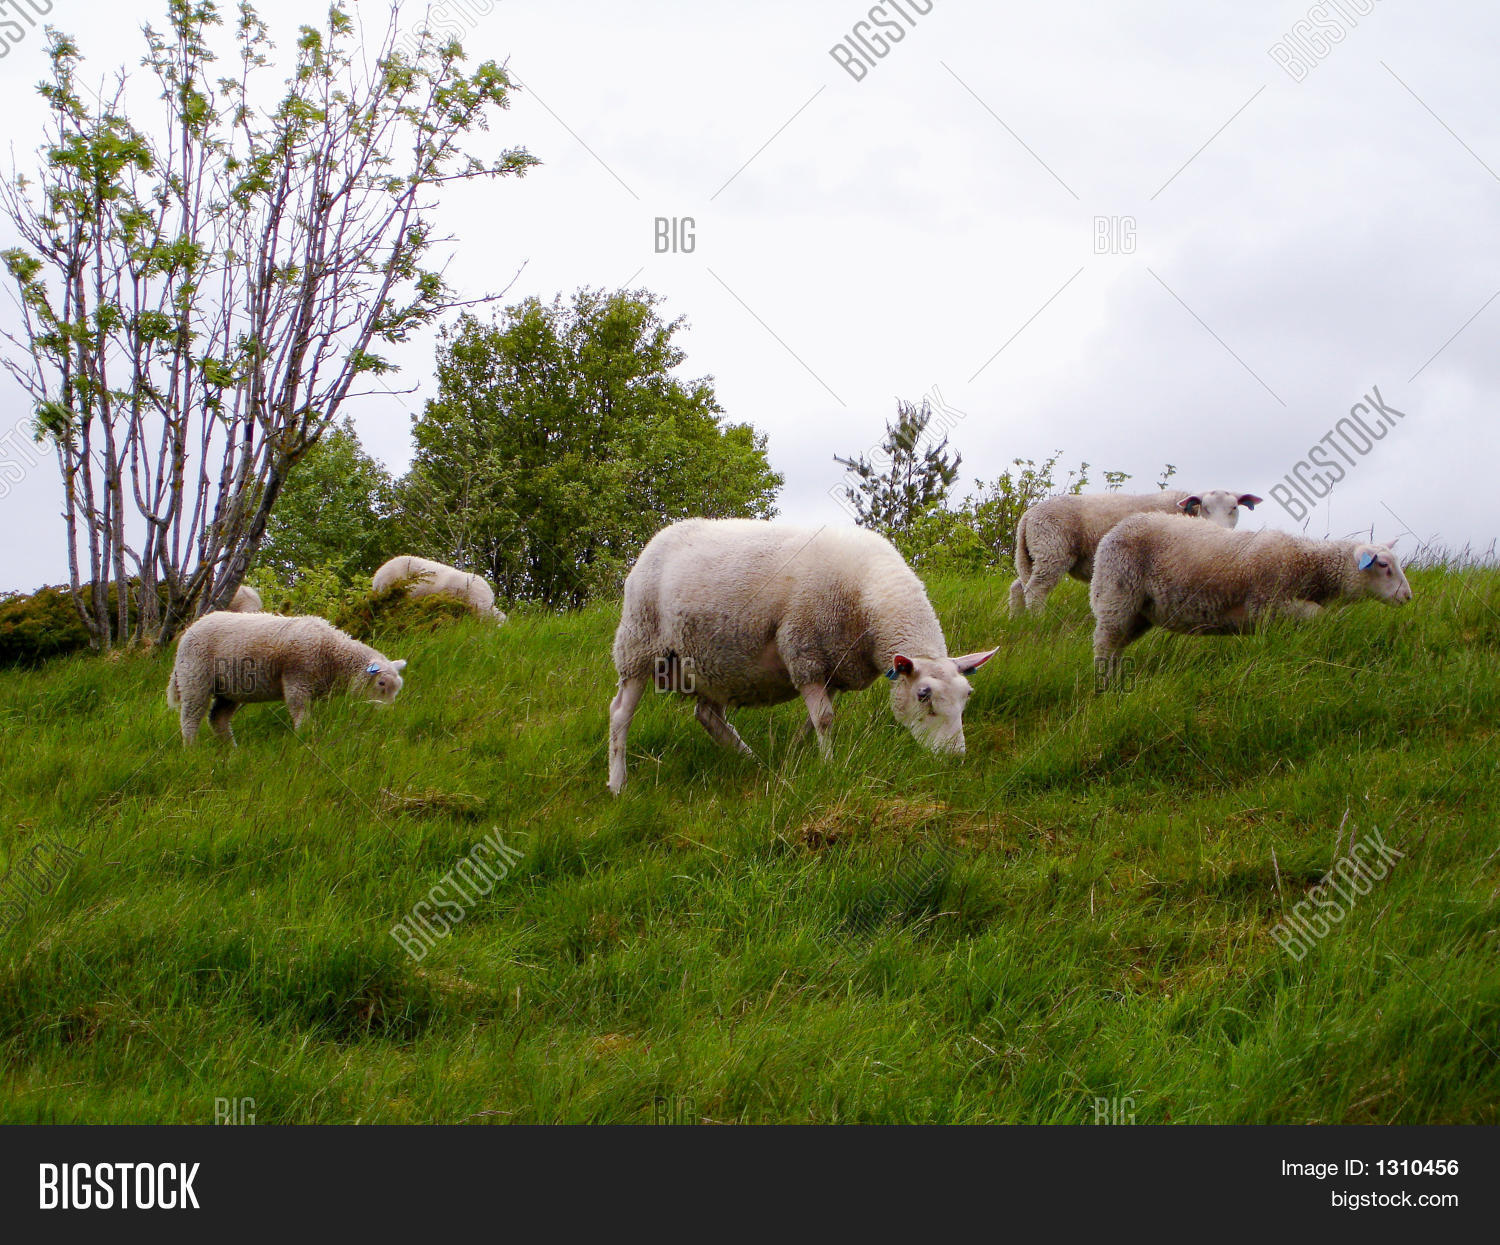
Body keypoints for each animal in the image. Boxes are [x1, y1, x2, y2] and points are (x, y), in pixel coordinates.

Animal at [167, 612, 406, 744]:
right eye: (381, 683)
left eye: (397, 689)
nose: (387, 713)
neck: (332, 654)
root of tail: (191, 627)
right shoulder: (297, 680)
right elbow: (301, 714)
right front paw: (303, 738)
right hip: (195, 677)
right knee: (190, 718)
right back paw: (191, 749)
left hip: (229, 690)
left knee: (218, 719)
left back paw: (231, 751)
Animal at [607, 518, 997, 794]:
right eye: (923, 695)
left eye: (967, 696)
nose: (954, 759)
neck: (868, 602)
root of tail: (658, 538)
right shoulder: (804, 652)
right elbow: (824, 719)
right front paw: (831, 768)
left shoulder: (834, 667)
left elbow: (815, 720)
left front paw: (796, 755)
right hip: (639, 643)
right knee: (620, 714)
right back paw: (617, 783)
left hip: (712, 665)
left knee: (707, 715)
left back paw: (753, 761)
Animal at [1009, 489, 1262, 615]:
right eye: (1206, 508)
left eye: (1234, 507)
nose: (1220, 532)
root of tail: (1027, 517)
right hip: (1052, 550)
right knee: (1036, 590)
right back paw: (1038, 621)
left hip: (1033, 555)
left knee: (1018, 587)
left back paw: (1018, 620)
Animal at [1089, 514, 1411, 670]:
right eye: (1383, 565)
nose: (1407, 596)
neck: (1308, 564)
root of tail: (1113, 532)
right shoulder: (1268, 602)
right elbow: (1316, 614)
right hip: (1116, 595)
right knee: (1104, 644)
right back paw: (1107, 683)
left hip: (1139, 612)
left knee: (1116, 646)